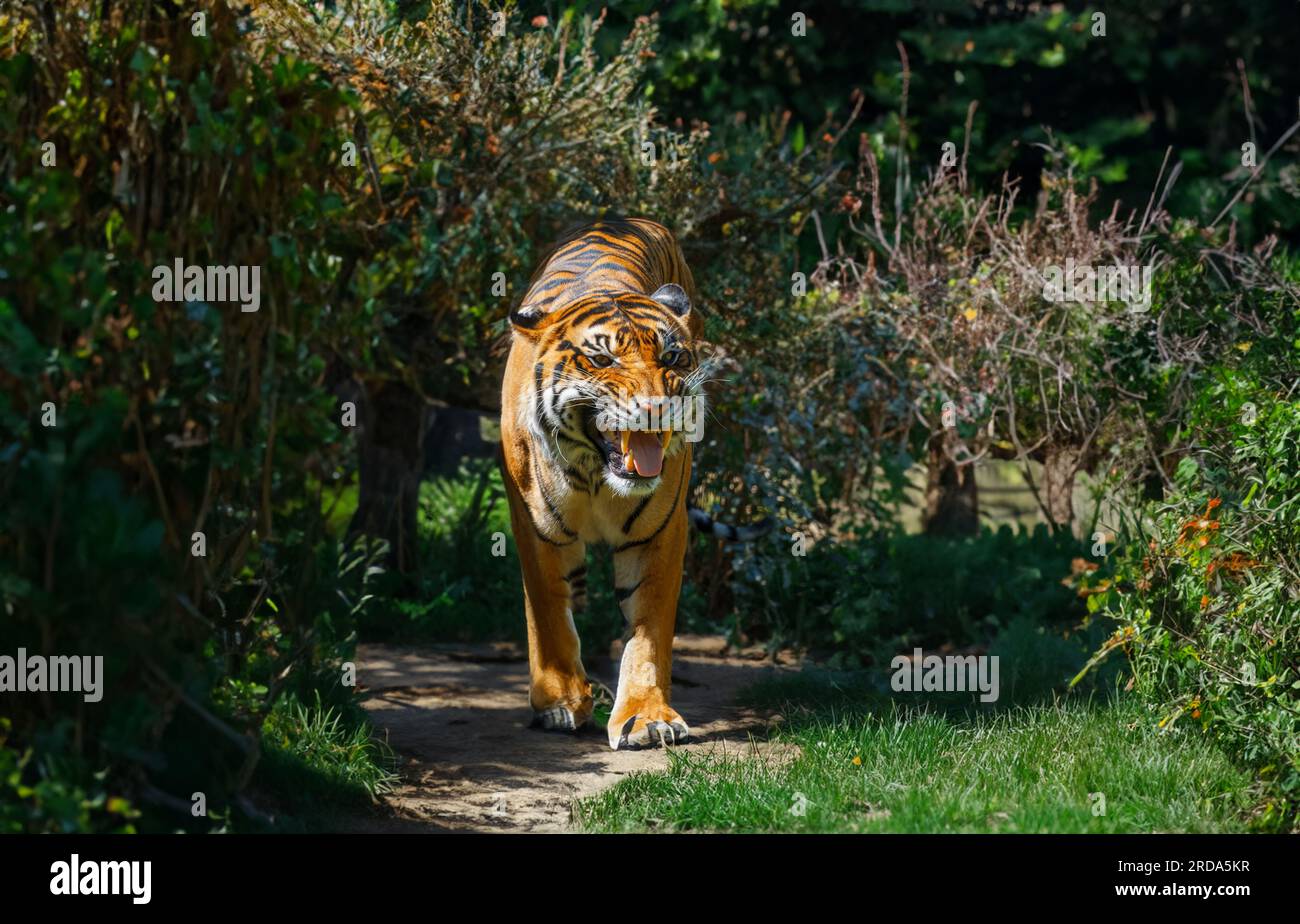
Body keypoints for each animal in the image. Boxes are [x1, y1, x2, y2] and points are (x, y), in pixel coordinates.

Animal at [499, 216, 767, 750]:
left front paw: (647, 718)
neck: (596, 476)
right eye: (603, 361)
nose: (658, 408)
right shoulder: (536, 529)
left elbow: (648, 631)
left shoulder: (659, 533)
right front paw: (560, 701)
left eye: (672, 356)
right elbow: (548, 613)